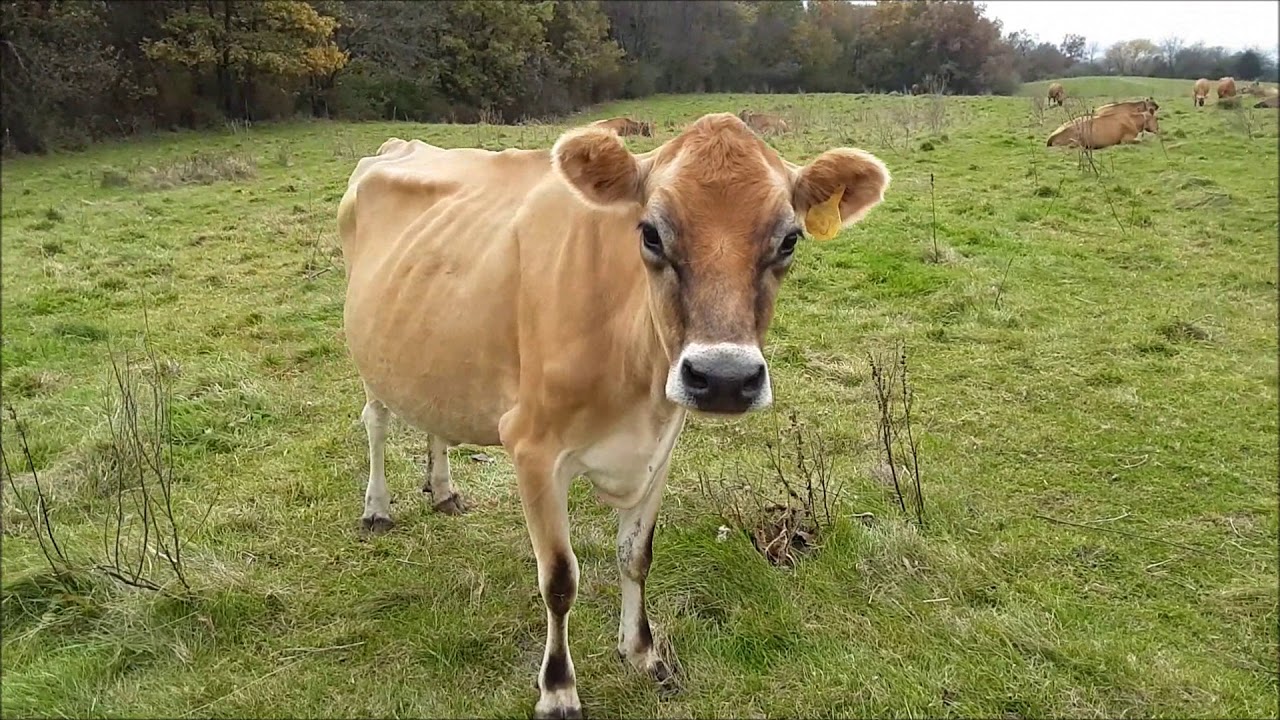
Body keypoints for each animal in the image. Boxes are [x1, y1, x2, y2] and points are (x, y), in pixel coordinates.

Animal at [337, 112, 890, 719]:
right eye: (649, 232)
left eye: (789, 239)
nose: (724, 378)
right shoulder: (532, 447)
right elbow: (560, 579)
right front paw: (558, 689)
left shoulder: (661, 446)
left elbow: (636, 557)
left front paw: (643, 653)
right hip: (371, 355)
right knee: (375, 421)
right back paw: (377, 508)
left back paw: (442, 490)